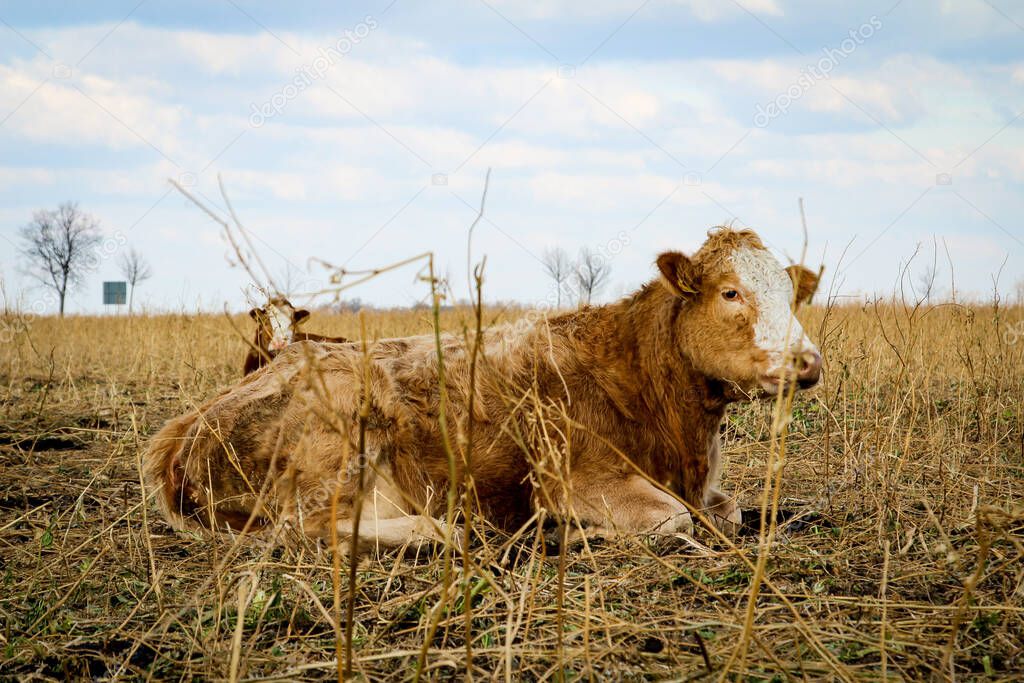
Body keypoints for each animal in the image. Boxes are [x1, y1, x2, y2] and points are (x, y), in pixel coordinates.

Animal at [146, 228, 821, 551]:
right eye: (730, 292)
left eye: (792, 294)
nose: (807, 362)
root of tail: (182, 431)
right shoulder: (572, 480)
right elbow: (676, 521)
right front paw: (571, 532)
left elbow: (729, 512)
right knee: (304, 528)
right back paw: (443, 533)